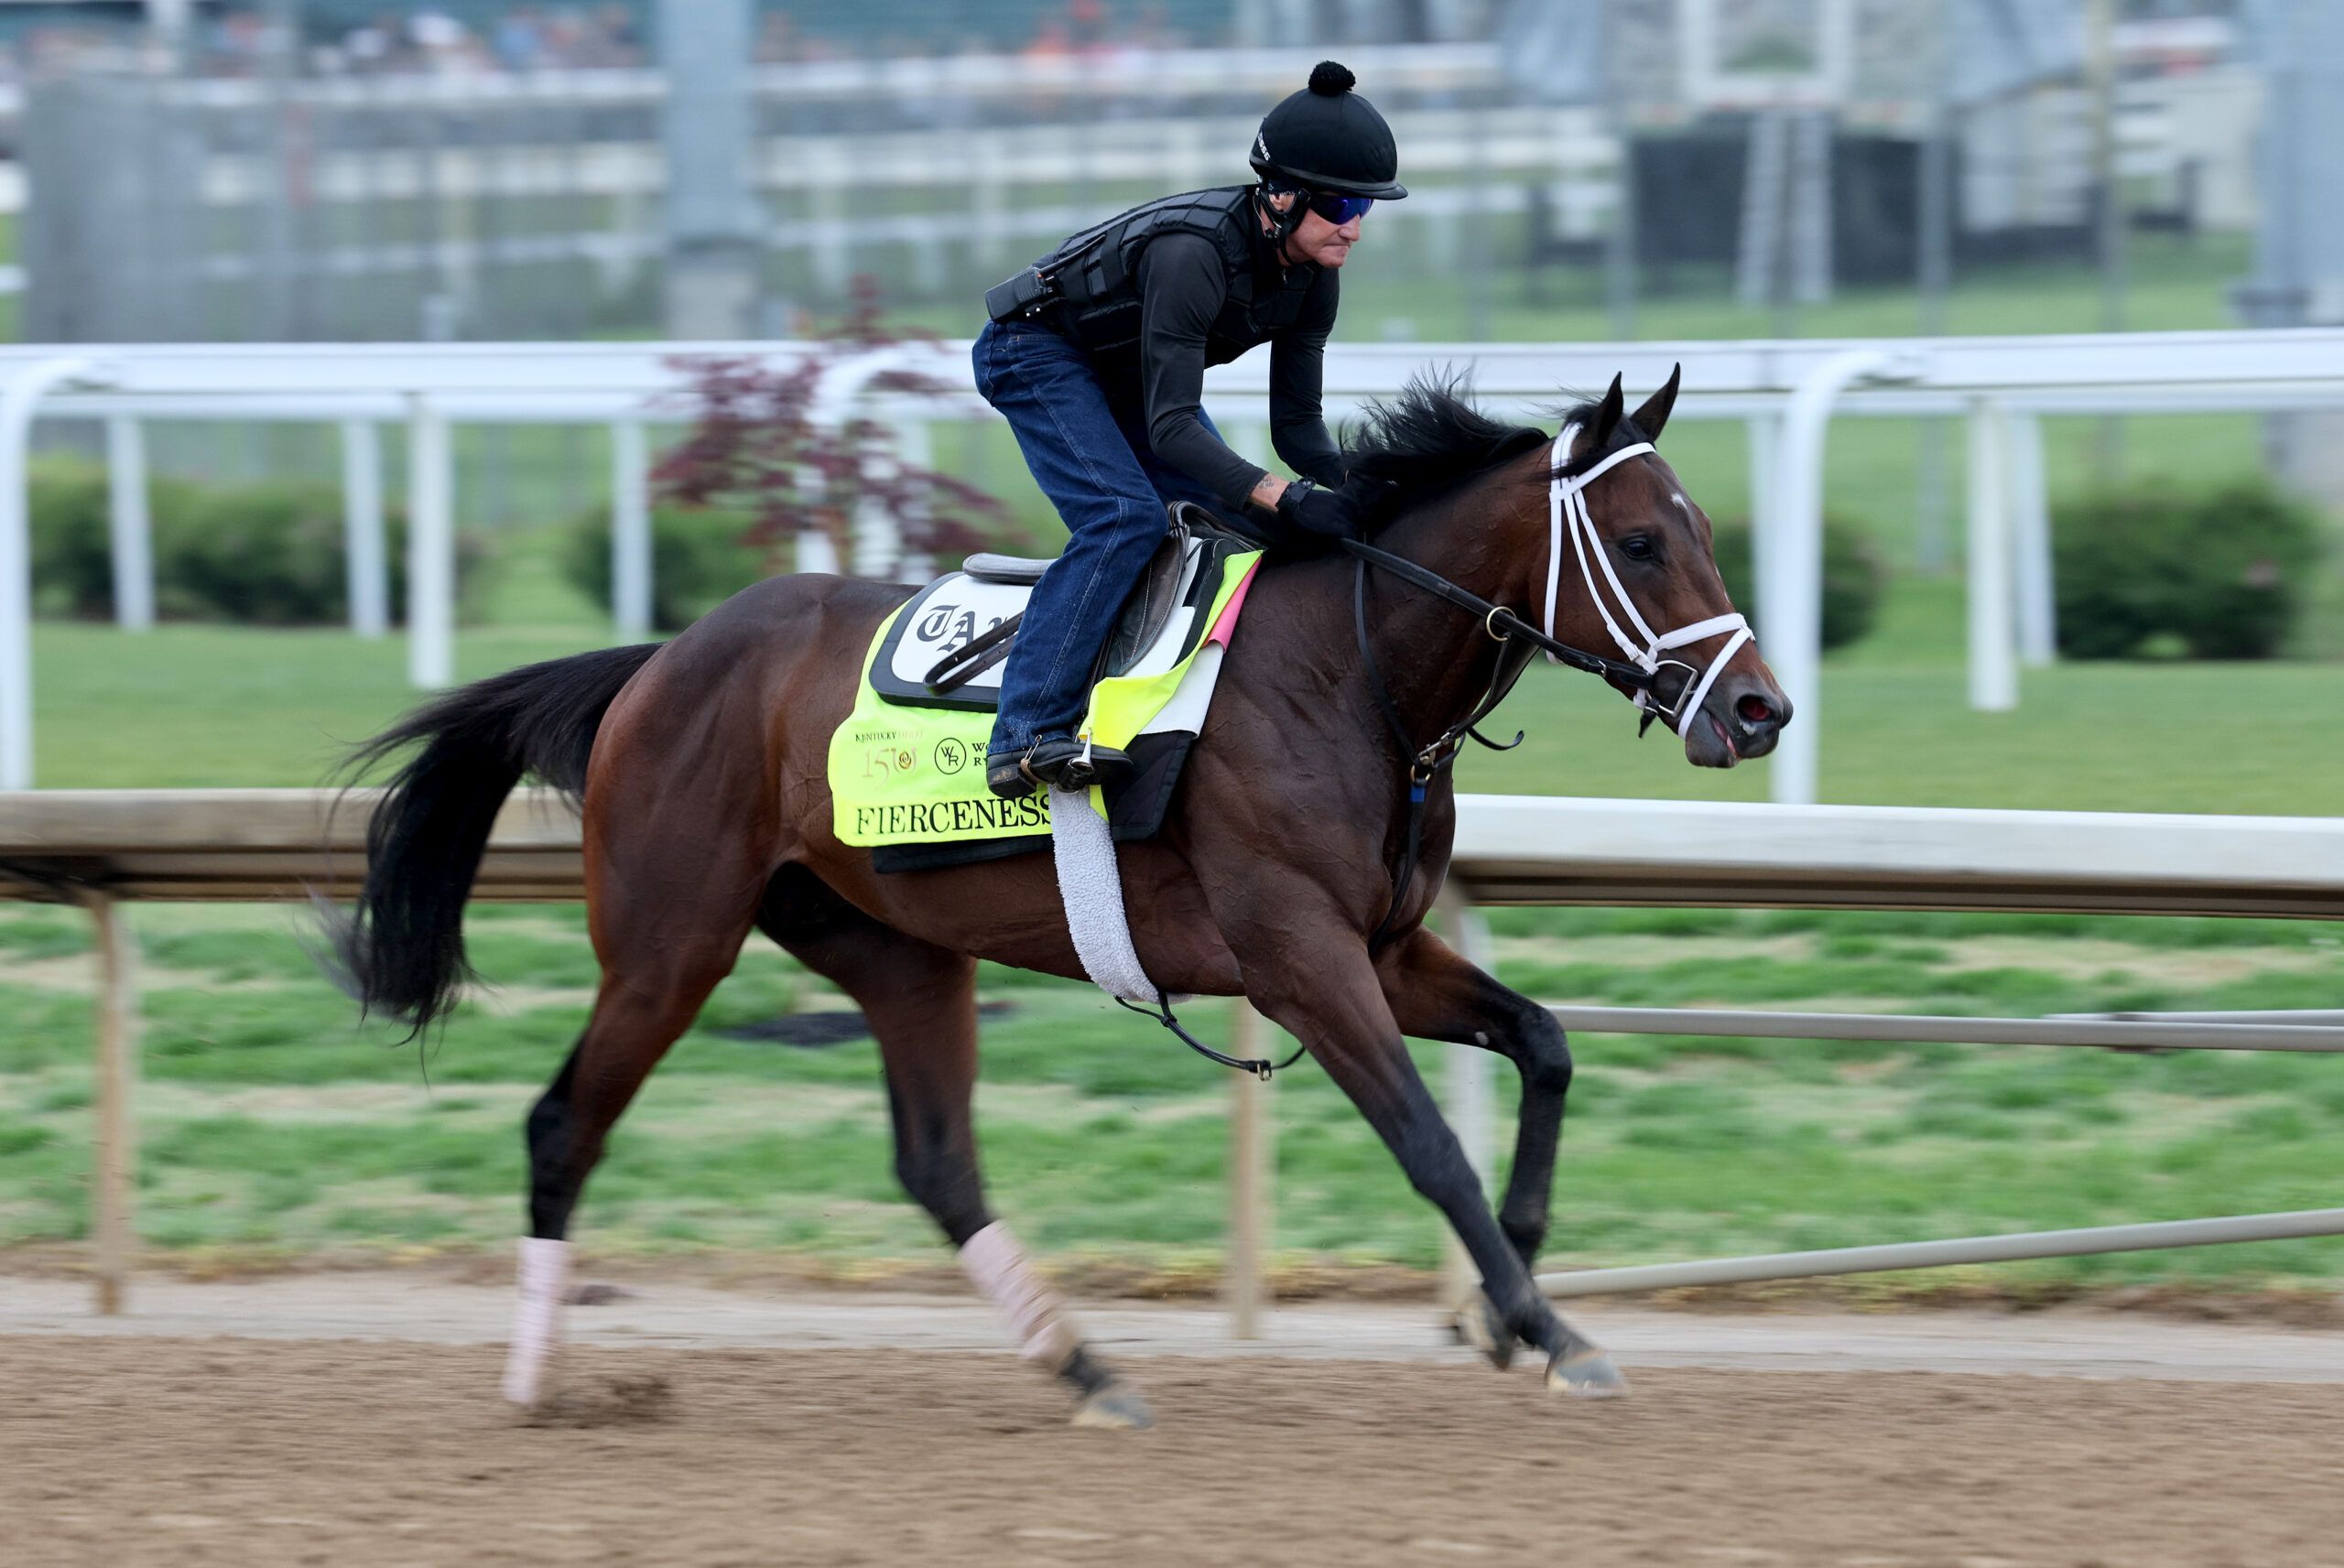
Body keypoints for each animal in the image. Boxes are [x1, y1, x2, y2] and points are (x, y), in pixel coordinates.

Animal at [326, 369, 1790, 1428]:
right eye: (1642, 542)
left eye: (1706, 531)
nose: (1761, 711)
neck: (1347, 673)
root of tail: (656, 662)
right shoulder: (1299, 958)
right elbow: (1430, 1144)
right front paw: (1548, 1329)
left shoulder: (1381, 945)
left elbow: (1541, 1045)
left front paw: (1511, 1301)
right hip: (668, 945)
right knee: (562, 1124)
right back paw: (535, 1383)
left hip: (896, 948)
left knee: (936, 1161)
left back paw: (1086, 1368)